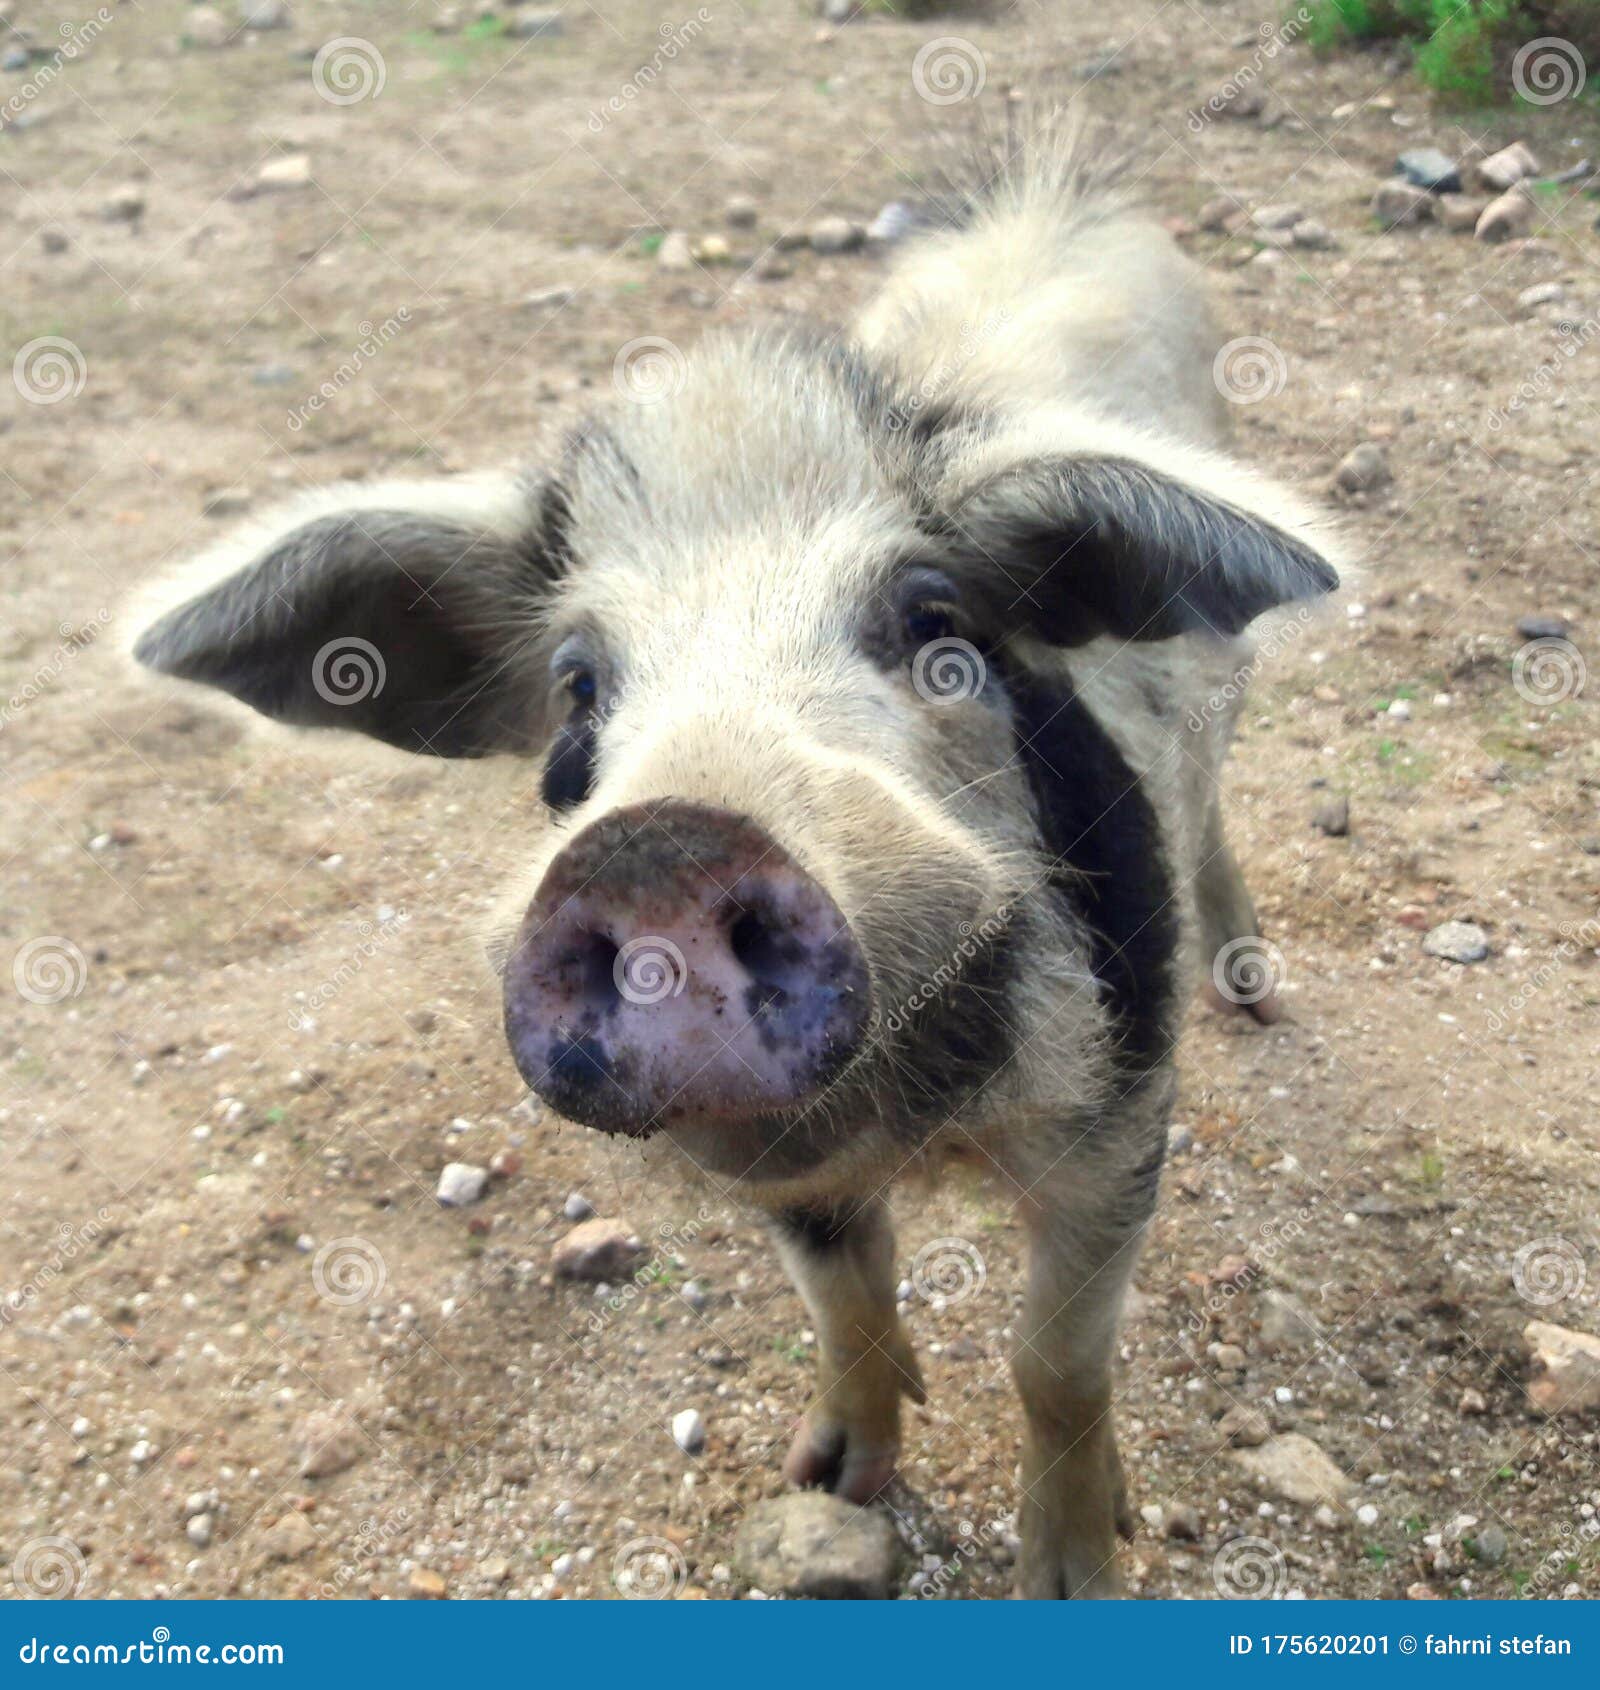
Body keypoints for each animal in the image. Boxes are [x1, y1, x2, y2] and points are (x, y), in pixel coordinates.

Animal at [131, 124, 1341, 1597]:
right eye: (579, 683)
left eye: (932, 622)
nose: (659, 842)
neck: (914, 1121)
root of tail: (1056, 203)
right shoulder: (770, 1162)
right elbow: (842, 1293)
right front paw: (831, 1479)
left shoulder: (1119, 1118)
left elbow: (1053, 1356)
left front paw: (1077, 1577)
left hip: (1225, 689)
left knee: (1217, 802)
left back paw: (1256, 991)